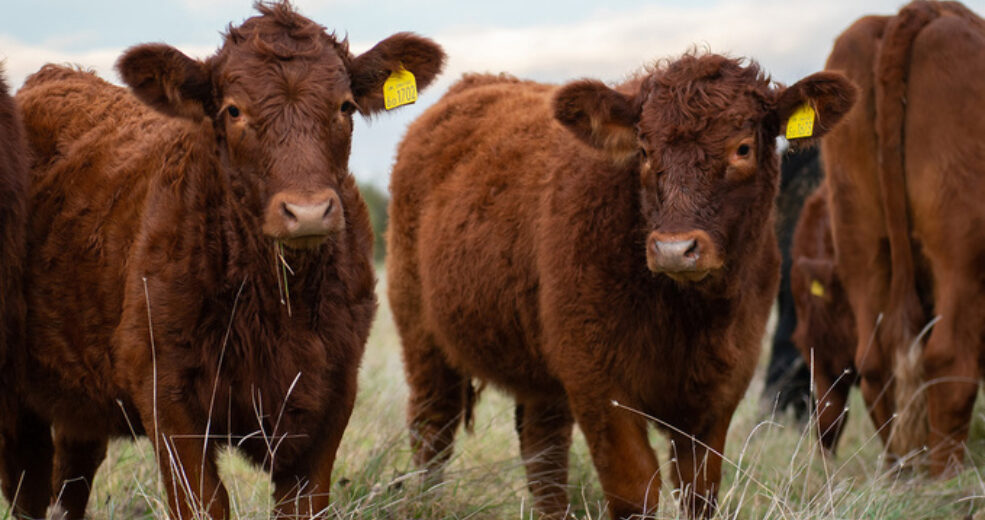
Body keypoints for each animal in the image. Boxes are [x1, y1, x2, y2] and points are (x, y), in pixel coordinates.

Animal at [2, 3, 445, 519]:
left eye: (345, 107)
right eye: (233, 110)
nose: (308, 211)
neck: (278, 306)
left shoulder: (332, 395)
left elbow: (304, 502)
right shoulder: (166, 393)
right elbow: (204, 502)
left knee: (71, 478)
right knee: (28, 487)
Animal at [821, 0, 985, 474]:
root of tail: (920, 13)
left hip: (860, 238)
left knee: (875, 363)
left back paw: (902, 468)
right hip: (960, 247)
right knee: (949, 359)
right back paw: (945, 475)